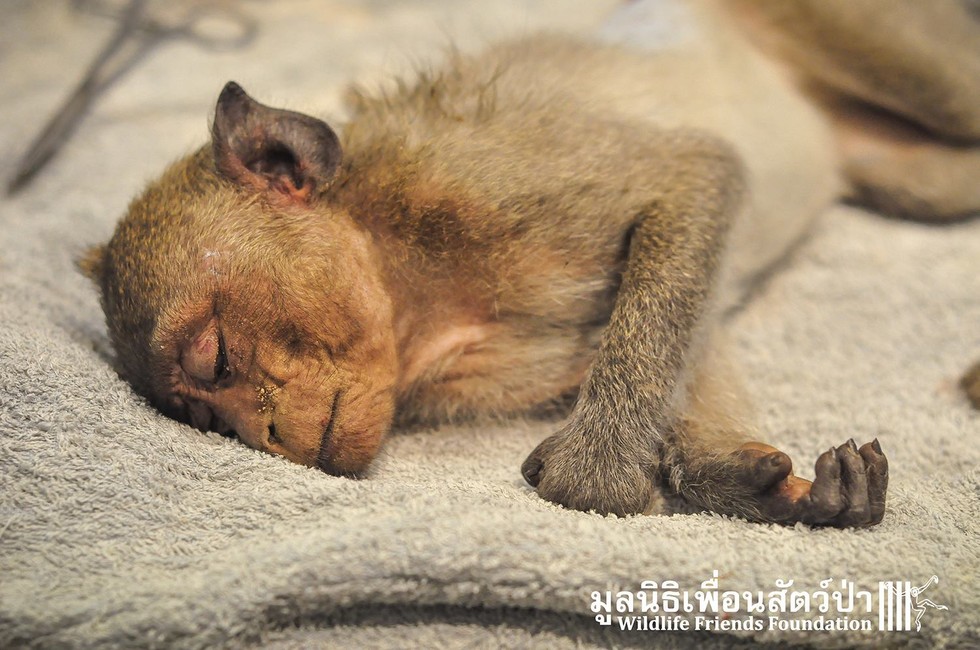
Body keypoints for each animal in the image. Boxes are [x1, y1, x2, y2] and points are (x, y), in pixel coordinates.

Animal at [79, 0, 980, 527]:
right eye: (204, 419)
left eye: (216, 357)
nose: (260, 436)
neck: (412, 295)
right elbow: (699, 327)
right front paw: (756, 484)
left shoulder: (478, 183)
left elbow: (696, 176)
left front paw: (595, 474)